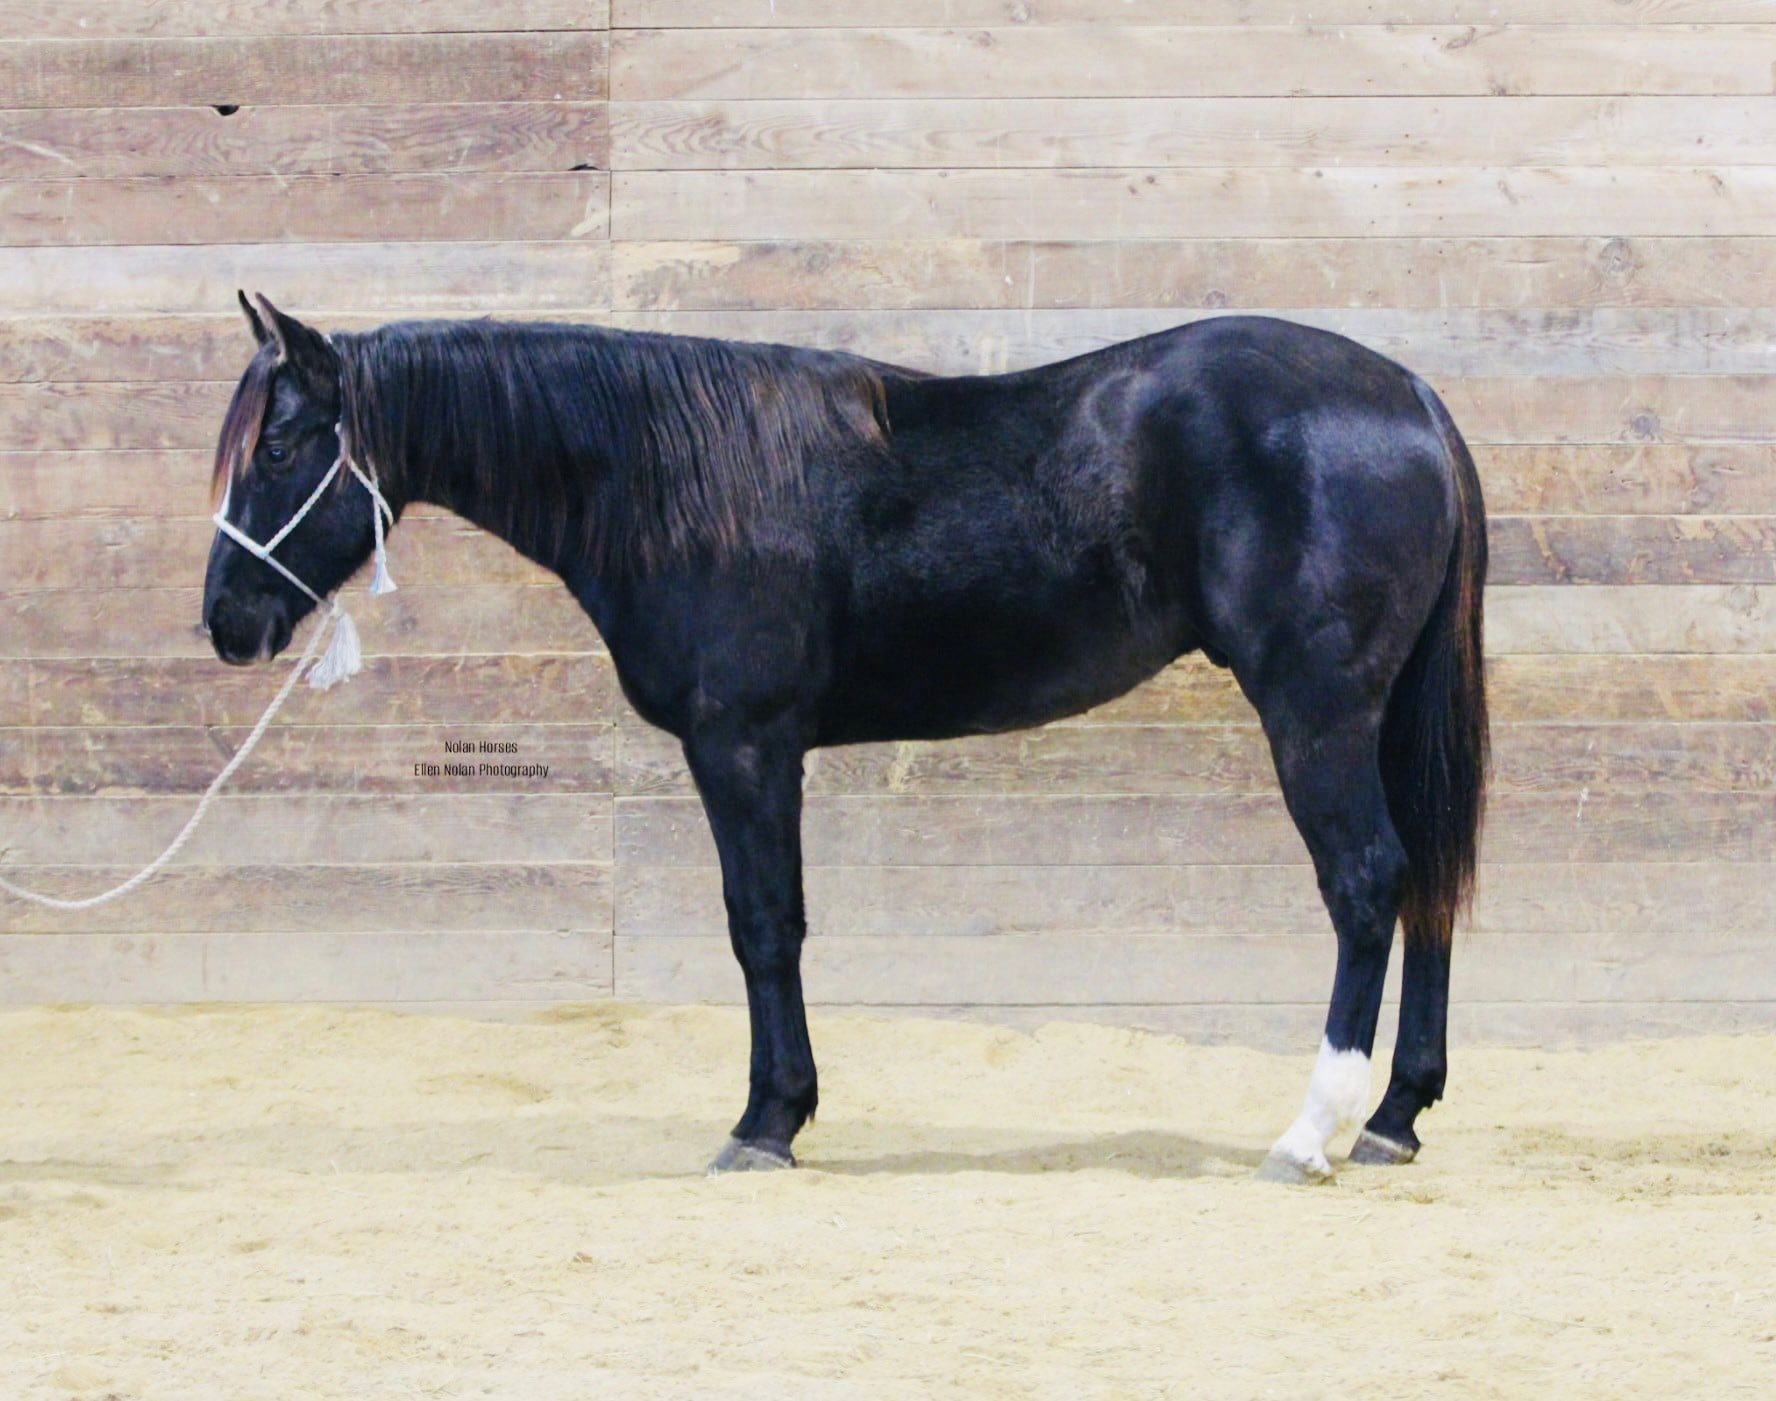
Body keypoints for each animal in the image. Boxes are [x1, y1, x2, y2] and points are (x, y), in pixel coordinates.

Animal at [203, 293, 1488, 1183]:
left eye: (281, 448)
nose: (226, 623)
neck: (670, 478)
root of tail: (1412, 398)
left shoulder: (744, 745)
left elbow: (764, 928)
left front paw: (767, 1123)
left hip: (1316, 713)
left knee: (1367, 883)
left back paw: (1311, 1131)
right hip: (1375, 717)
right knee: (1425, 884)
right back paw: (1396, 1119)